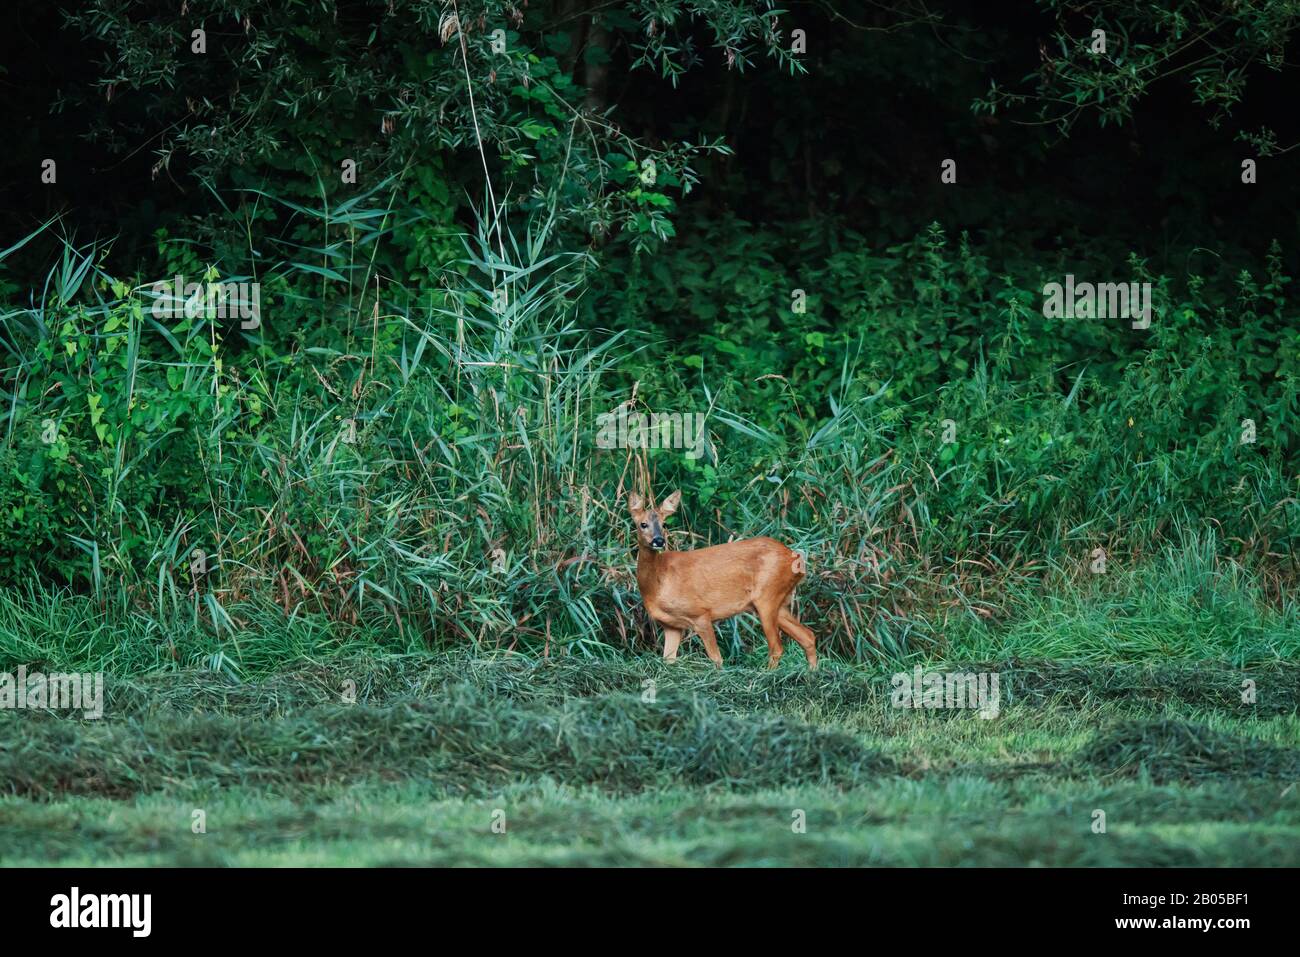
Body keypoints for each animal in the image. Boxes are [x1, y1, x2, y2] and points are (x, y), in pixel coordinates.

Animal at [628, 490, 818, 670]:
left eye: (664, 524)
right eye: (643, 524)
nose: (659, 540)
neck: (659, 582)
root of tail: (796, 558)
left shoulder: (700, 614)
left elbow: (716, 659)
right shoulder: (671, 626)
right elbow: (669, 660)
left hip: (767, 596)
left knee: (777, 647)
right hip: (777, 602)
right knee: (807, 636)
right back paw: (812, 674)